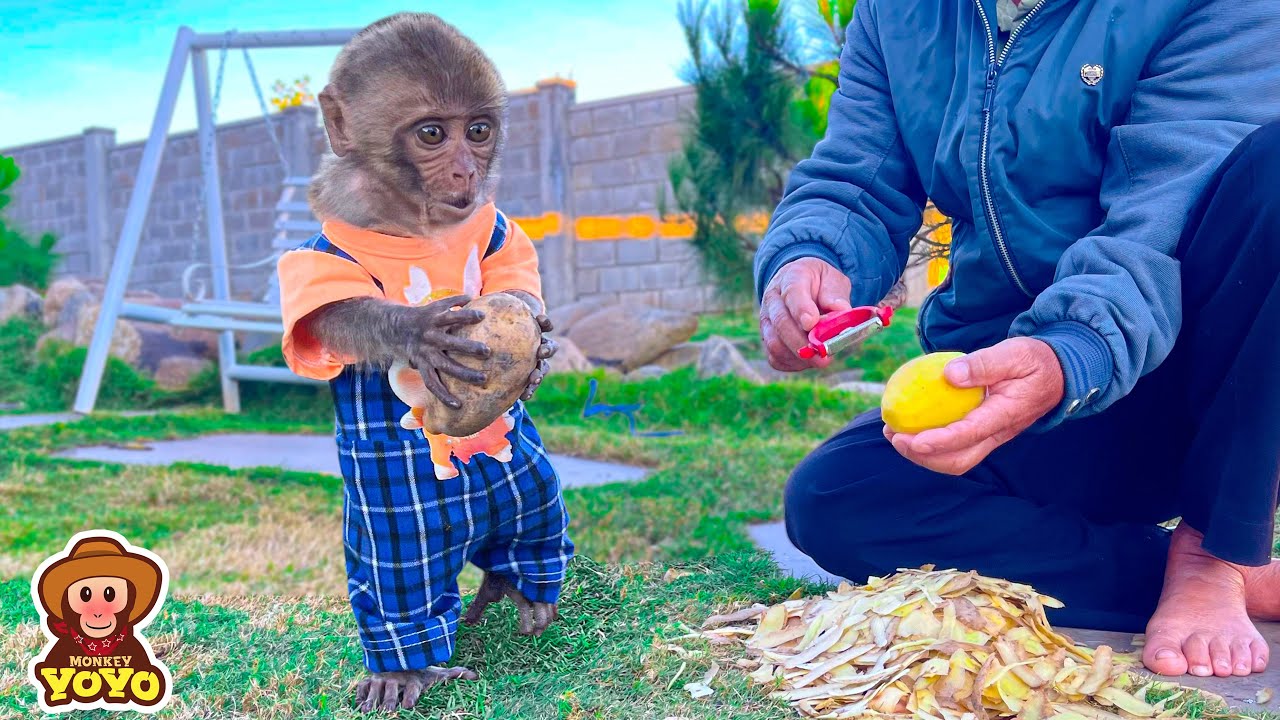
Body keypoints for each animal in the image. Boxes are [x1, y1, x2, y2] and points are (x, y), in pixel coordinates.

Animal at [275, 13, 576, 713]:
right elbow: (333, 313)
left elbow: (513, 275)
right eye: (432, 134)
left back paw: (517, 580)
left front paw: (540, 347)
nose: (465, 172)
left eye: (478, 130)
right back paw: (406, 666)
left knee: (538, 518)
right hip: (397, 522)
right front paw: (415, 331)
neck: (414, 223)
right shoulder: (322, 243)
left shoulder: (491, 223)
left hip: (529, 481)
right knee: (401, 580)